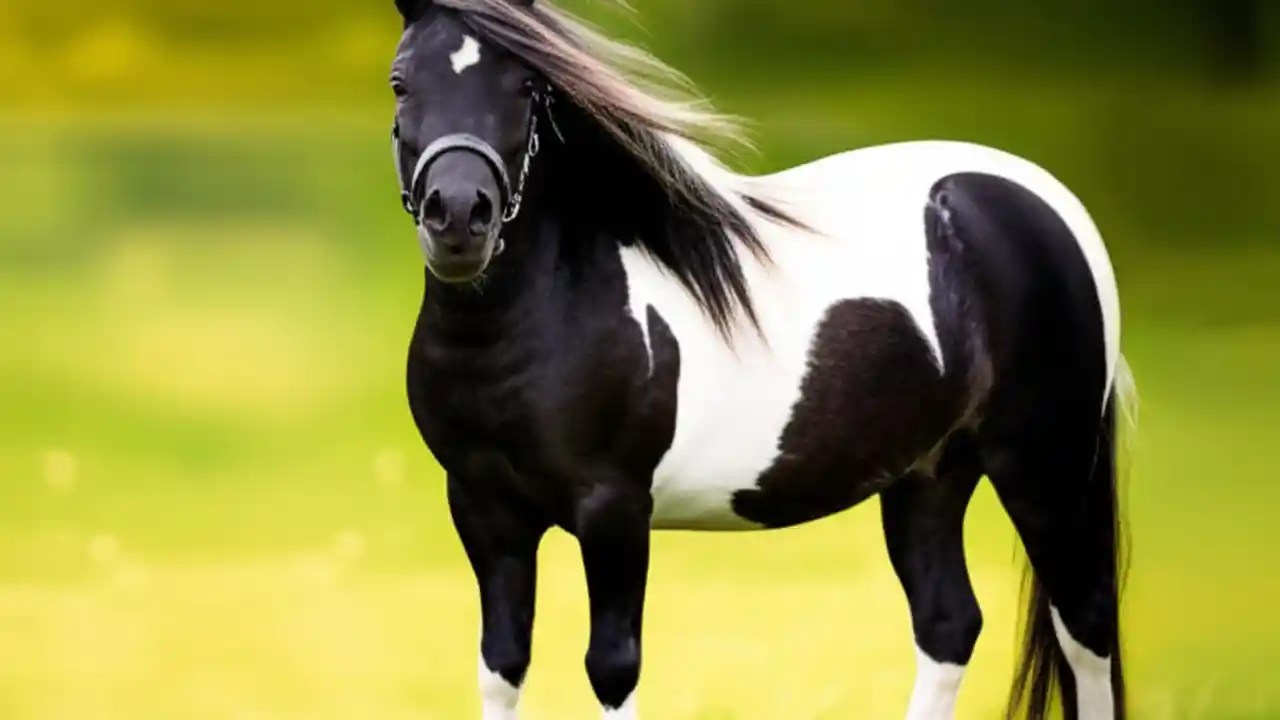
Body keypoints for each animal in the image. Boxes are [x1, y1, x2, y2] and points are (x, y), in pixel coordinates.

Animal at [389, 1, 1133, 718]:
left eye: (527, 86)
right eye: (401, 82)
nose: (460, 217)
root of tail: (1045, 198)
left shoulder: (615, 510)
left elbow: (612, 669)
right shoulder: (485, 510)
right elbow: (502, 666)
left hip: (1044, 471)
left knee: (1086, 628)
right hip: (931, 473)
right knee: (949, 625)